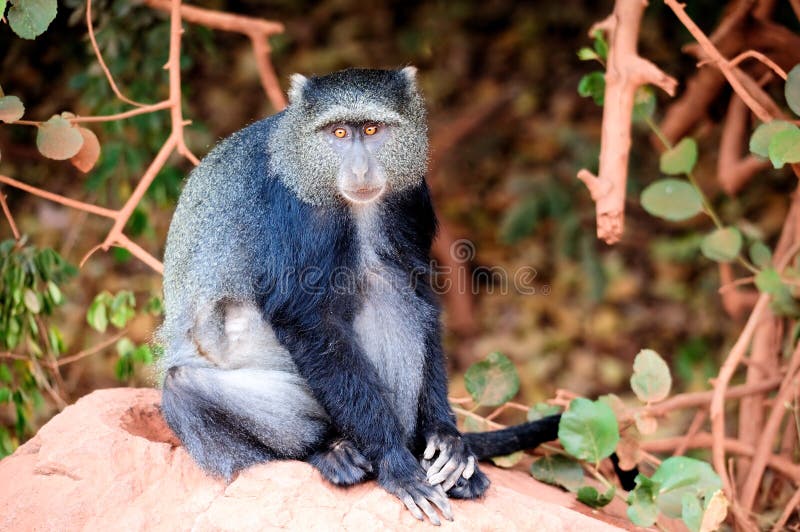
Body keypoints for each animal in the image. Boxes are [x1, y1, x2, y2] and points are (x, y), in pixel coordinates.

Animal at [158, 67, 563, 525]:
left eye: (371, 129)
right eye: (338, 132)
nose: (360, 167)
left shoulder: (412, 194)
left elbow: (418, 290)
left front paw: (445, 436)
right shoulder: (297, 208)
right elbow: (305, 317)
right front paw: (395, 465)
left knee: (388, 288)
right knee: (183, 386)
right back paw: (331, 450)